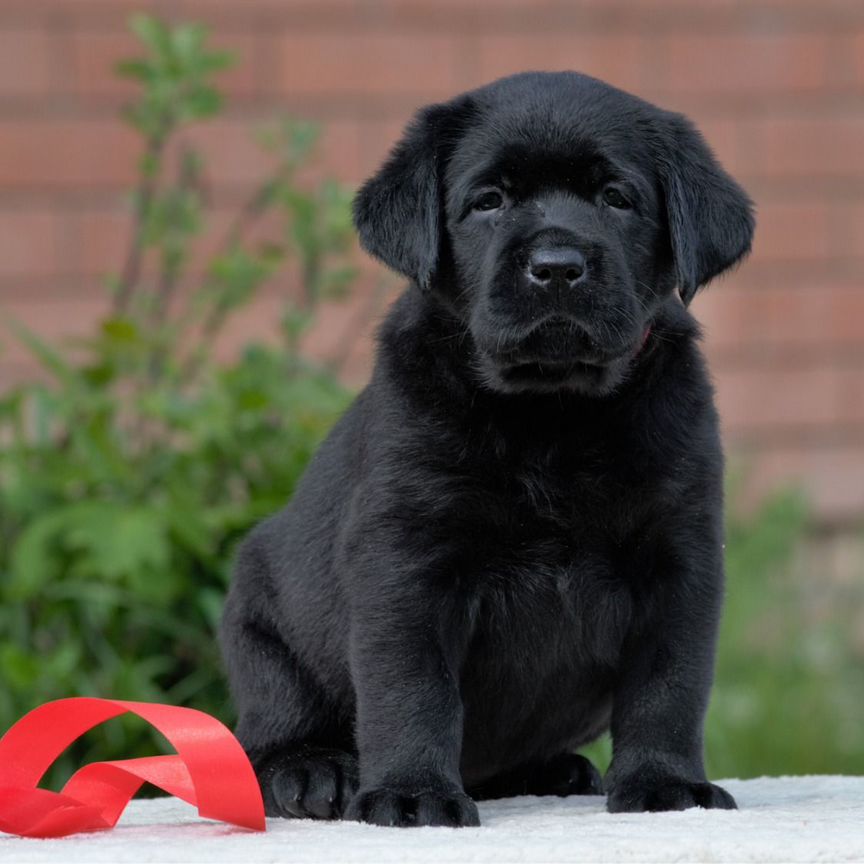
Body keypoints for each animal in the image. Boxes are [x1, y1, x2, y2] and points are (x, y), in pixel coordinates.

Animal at [219, 71, 752, 828]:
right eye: (488, 201)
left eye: (617, 198)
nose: (556, 267)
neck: (550, 414)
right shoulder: (405, 560)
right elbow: (413, 687)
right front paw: (412, 791)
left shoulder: (680, 558)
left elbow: (668, 686)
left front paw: (666, 783)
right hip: (260, 622)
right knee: (264, 735)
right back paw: (311, 771)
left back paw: (556, 769)